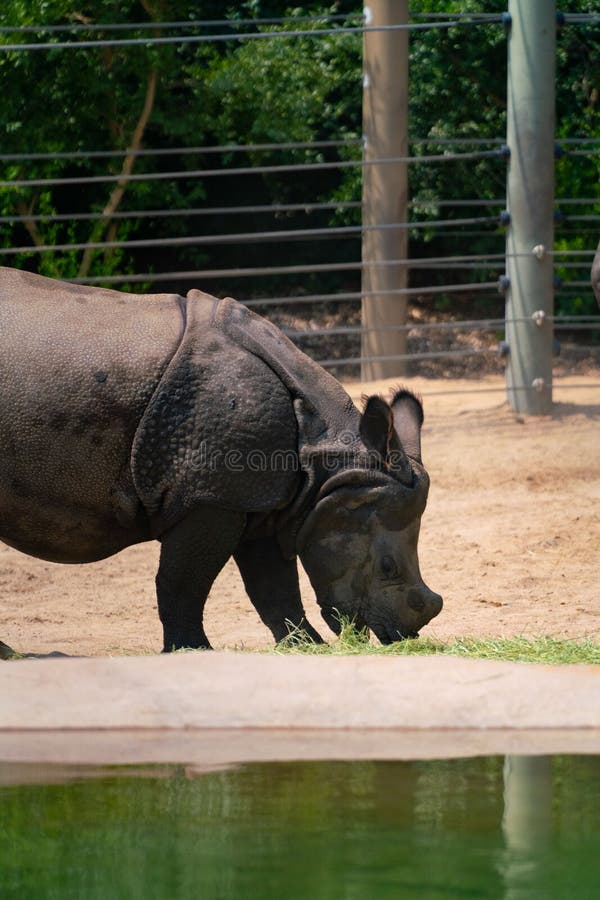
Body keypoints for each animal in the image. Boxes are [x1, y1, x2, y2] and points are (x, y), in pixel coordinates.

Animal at [0, 266, 442, 657]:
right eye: (387, 567)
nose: (405, 634)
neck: (326, 461)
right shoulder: (211, 498)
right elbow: (185, 580)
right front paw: (191, 650)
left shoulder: (266, 497)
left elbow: (273, 587)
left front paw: (305, 648)